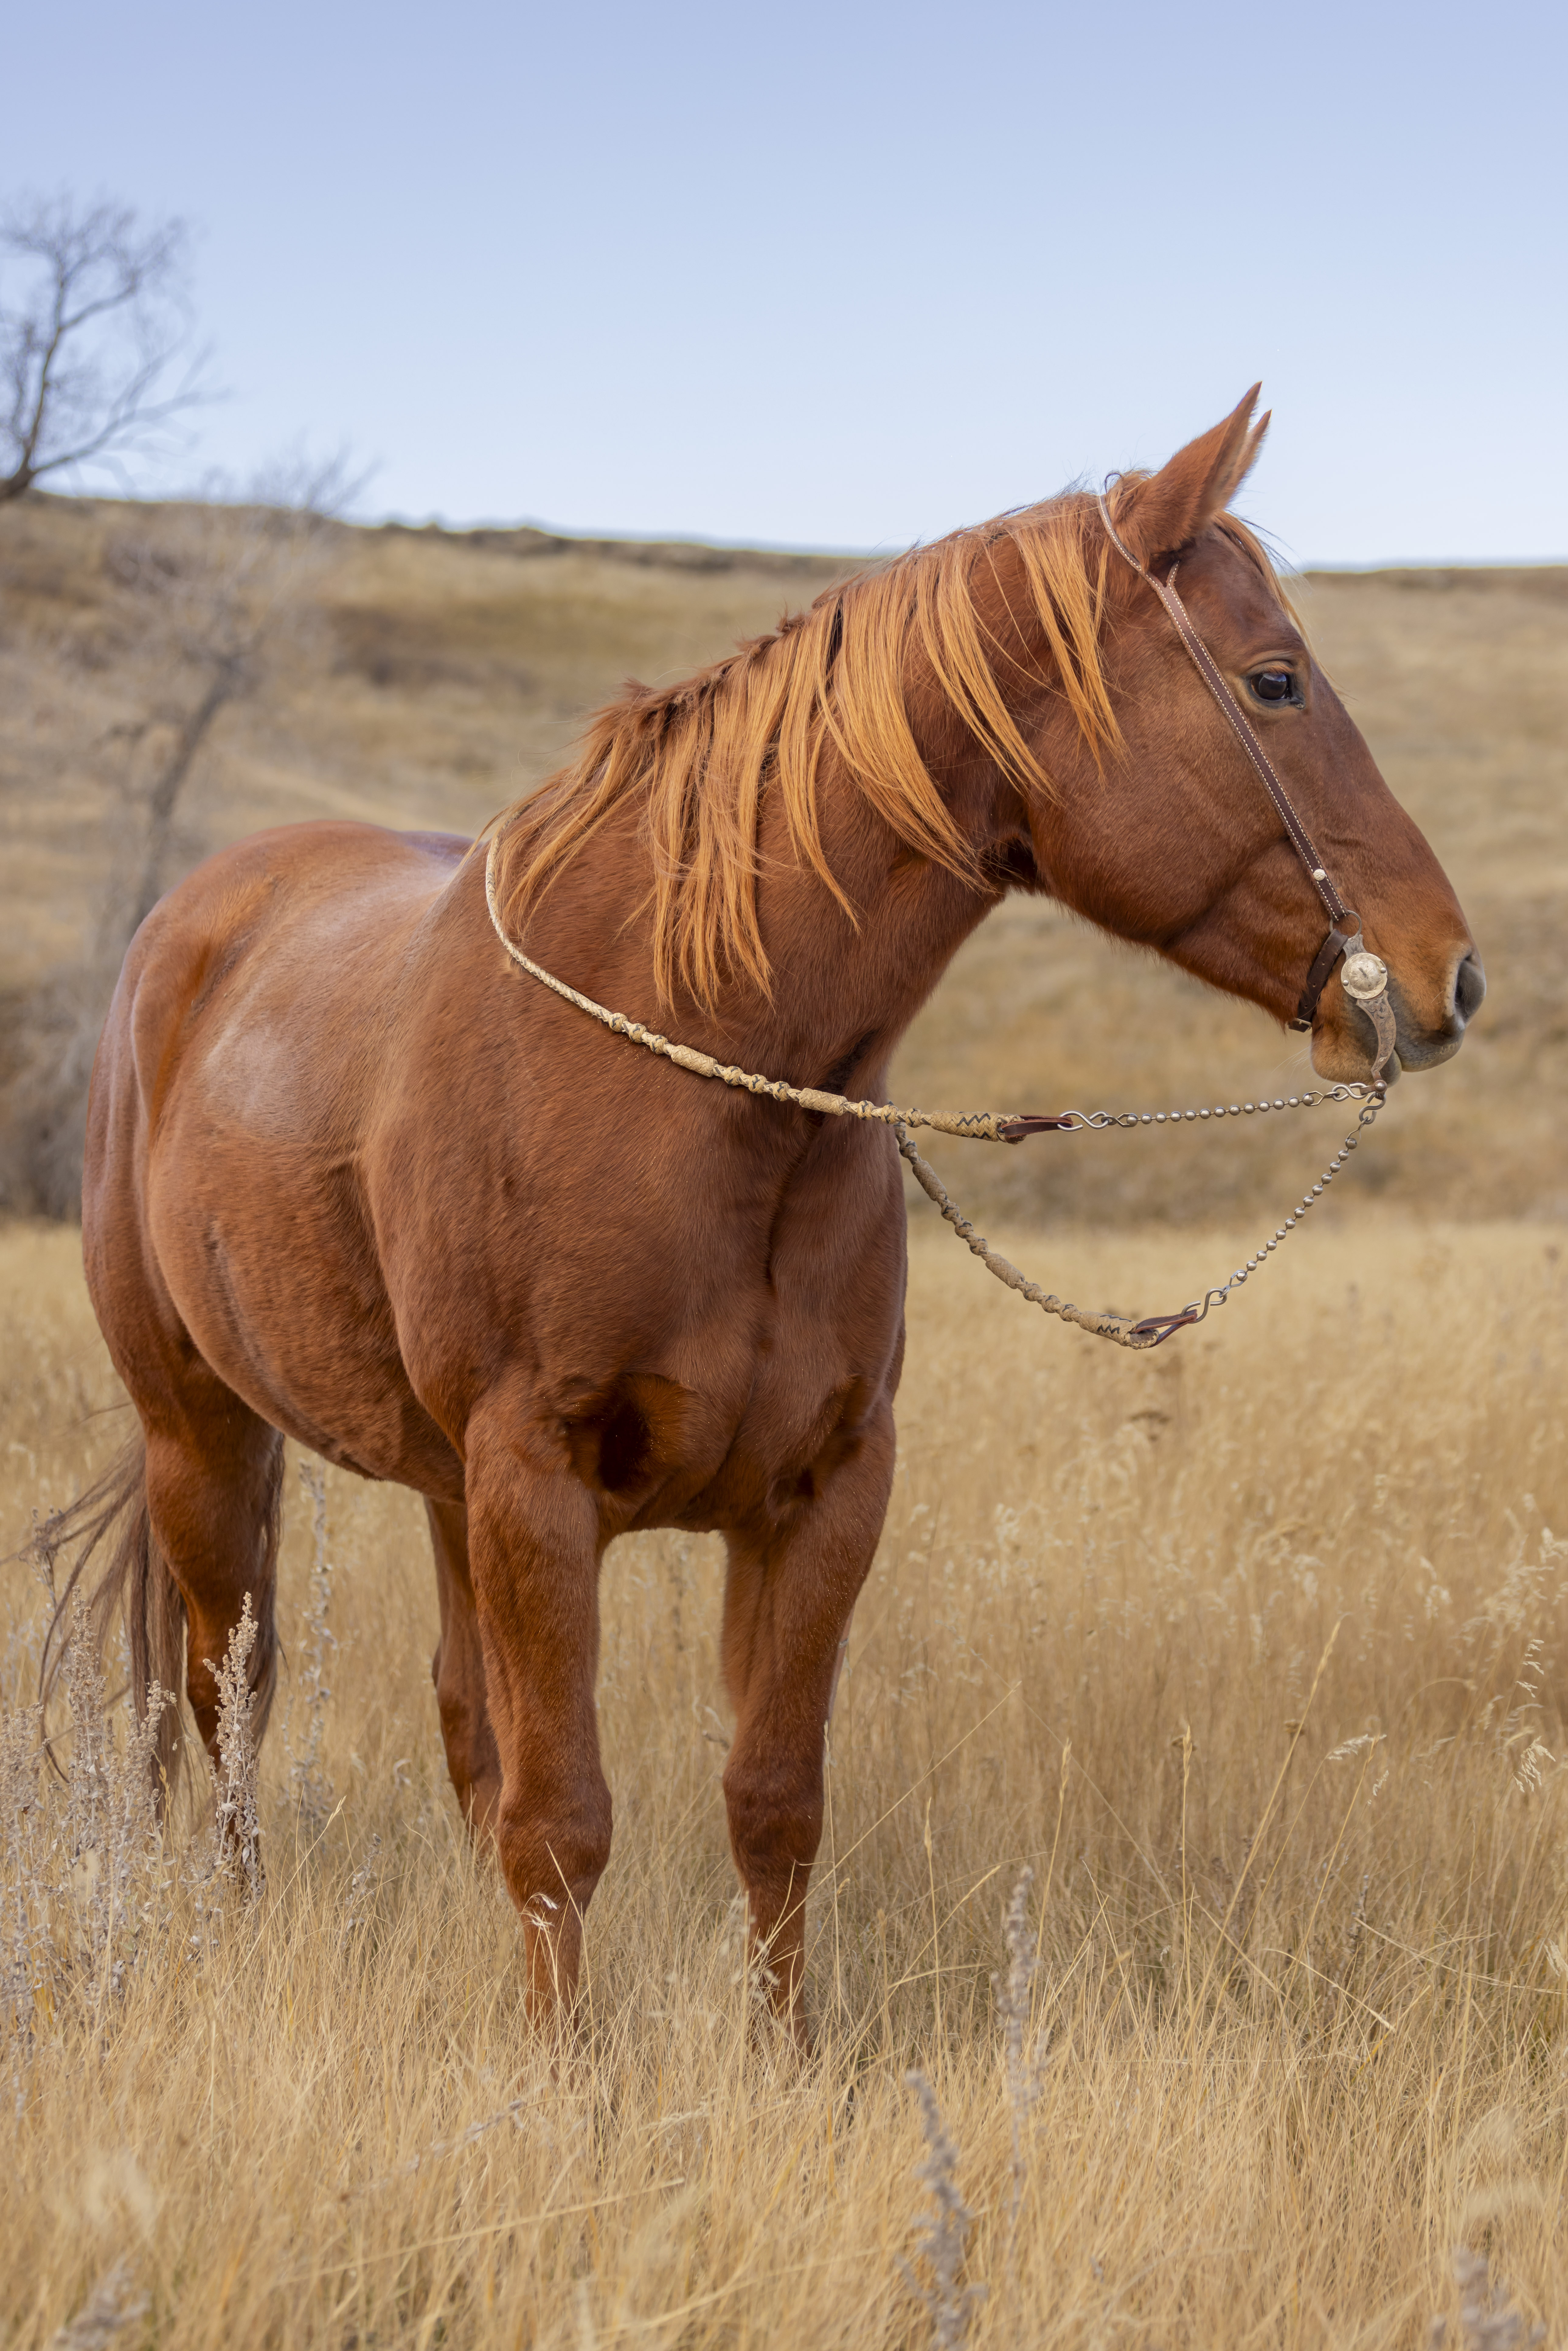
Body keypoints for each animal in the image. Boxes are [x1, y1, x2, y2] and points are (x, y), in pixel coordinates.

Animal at [56, 388, 1481, 2035]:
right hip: (205, 1439)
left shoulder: (819, 1491)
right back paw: (230, 1931)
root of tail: (189, 921)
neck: (689, 1067)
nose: (1448, 976)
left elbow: (769, 1801)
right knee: (229, 1699)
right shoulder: (536, 1484)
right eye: (1273, 681)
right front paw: (566, 2072)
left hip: (434, 1487)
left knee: (455, 1725)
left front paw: (784, 2053)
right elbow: (564, 1816)